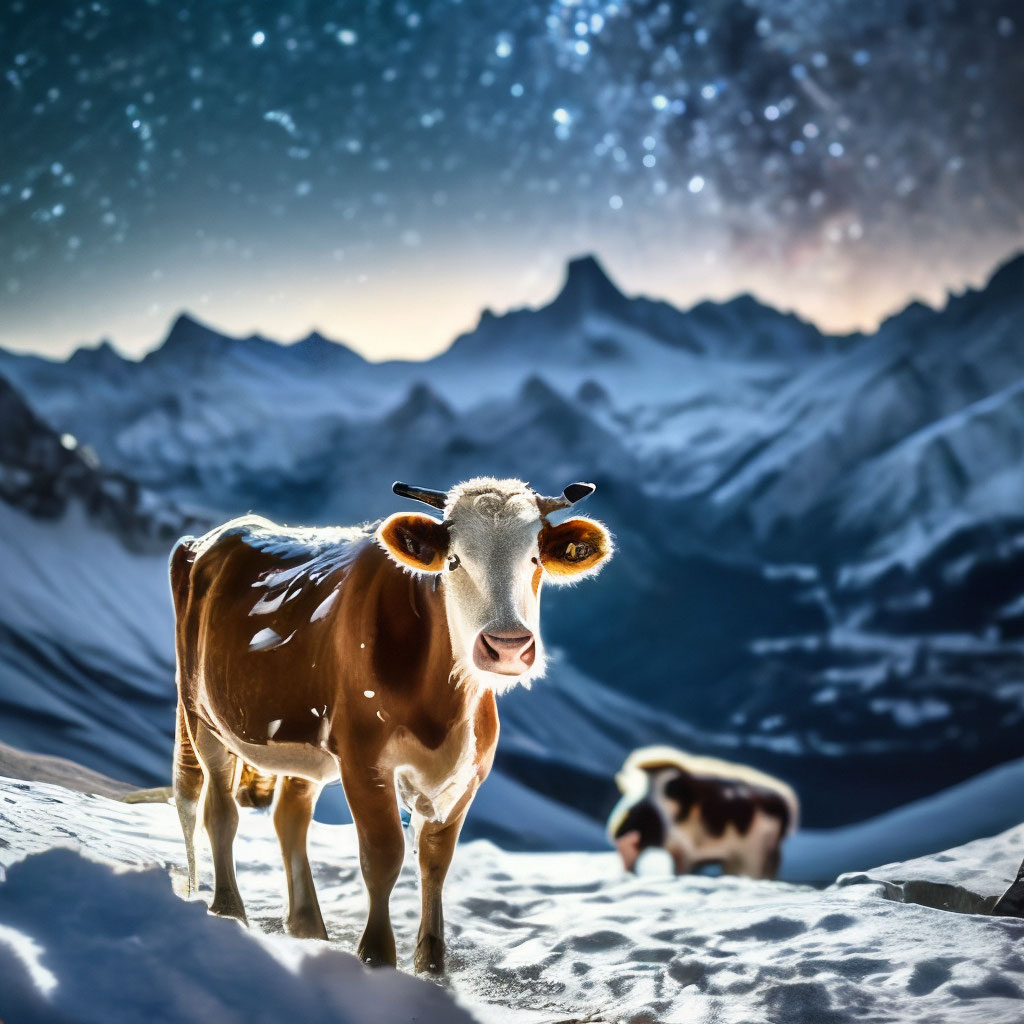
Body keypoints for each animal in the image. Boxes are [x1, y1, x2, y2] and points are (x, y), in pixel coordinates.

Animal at [170, 476, 612, 973]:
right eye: (454, 561)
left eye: (534, 559)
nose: (508, 646)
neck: (444, 708)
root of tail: (207, 538)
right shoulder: (363, 760)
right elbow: (383, 854)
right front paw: (376, 954)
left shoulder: (468, 774)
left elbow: (436, 861)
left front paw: (432, 963)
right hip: (200, 715)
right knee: (217, 810)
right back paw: (229, 907)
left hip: (300, 743)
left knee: (290, 817)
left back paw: (308, 927)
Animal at [607, 746, 799, 879]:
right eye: (627, 792)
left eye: (671, 791)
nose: (619, 829)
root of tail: (786, 805)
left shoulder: (684, 852)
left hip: (755, 853)